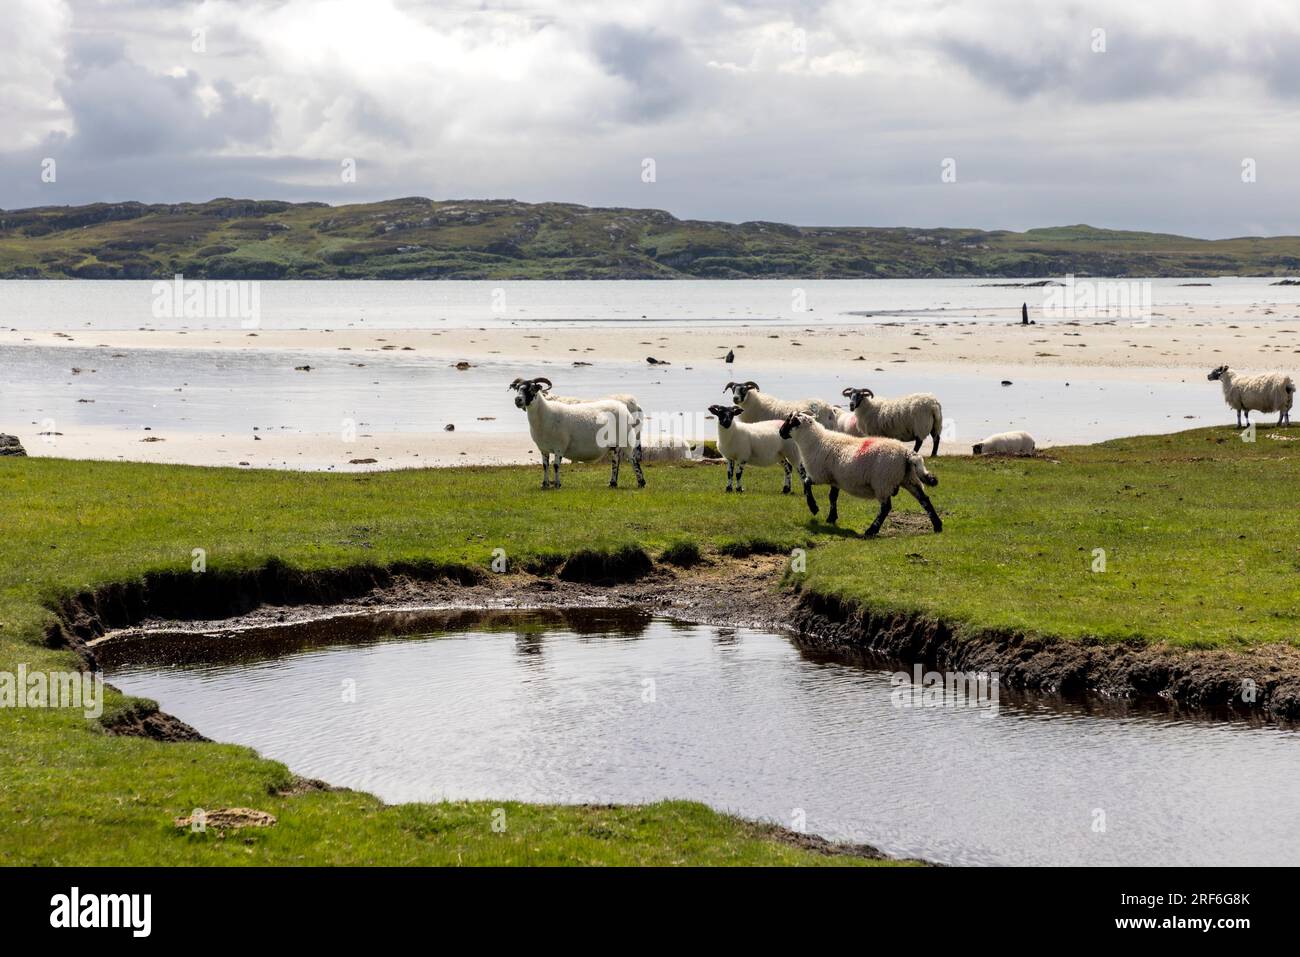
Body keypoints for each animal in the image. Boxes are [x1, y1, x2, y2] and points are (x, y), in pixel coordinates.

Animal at [508, 377, 645, 488]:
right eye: (517, 388)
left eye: (532, 389)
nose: (517, 400)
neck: (545, 413)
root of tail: (624, 408)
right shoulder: (543, 448)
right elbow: (545, 466)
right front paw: (545, 484)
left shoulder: (560, 446)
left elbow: (556, 465)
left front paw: (557, 484)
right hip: (615, 445)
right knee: (615, 461)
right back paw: (612, 483)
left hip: (626, 439)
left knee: (633, 460)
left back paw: (641, 483)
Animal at [779, 412, 942, 537]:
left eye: (788, 420)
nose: (780, 432)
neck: (814, 441)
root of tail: (907, 453)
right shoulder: (835, 479)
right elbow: (832, 497)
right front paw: (831, 518)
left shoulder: (819, 475)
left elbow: (806, 484)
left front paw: (814, 508)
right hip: (908, 479)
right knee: (924, 500)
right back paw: (937, 526)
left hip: (883, 481)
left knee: (886, 507)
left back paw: (871, 530)